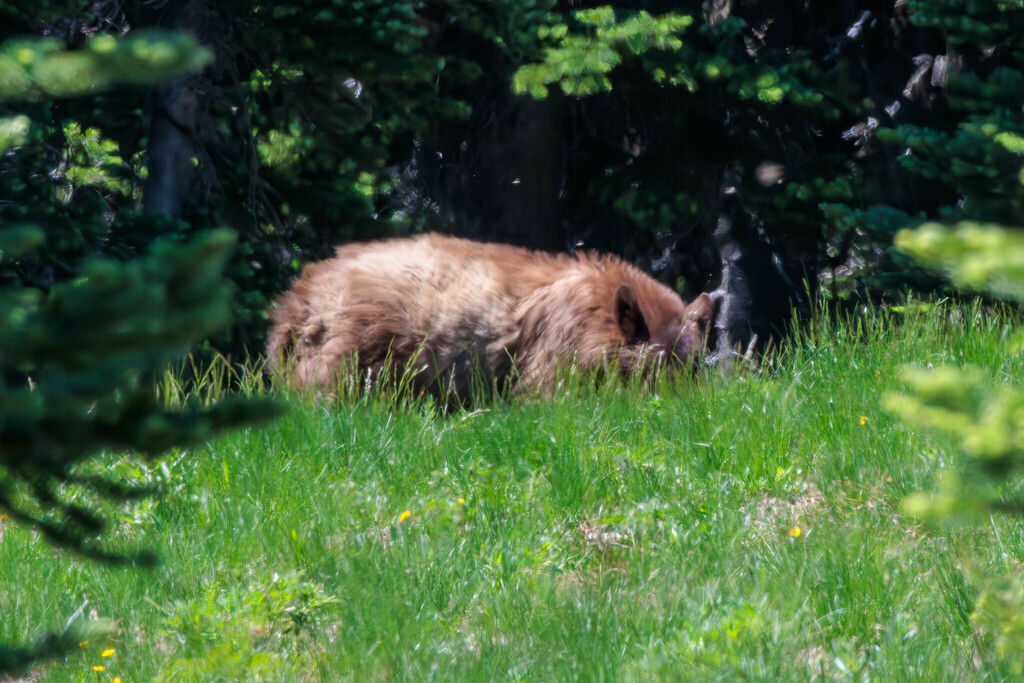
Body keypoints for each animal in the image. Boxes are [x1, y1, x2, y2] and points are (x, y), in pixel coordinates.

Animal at [267, 233, 716, 399]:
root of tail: (299, 297)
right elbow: (548, 389)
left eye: (694, 364)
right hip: (357, 337)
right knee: (328, 383)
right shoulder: (560, 341)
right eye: (657, 364)